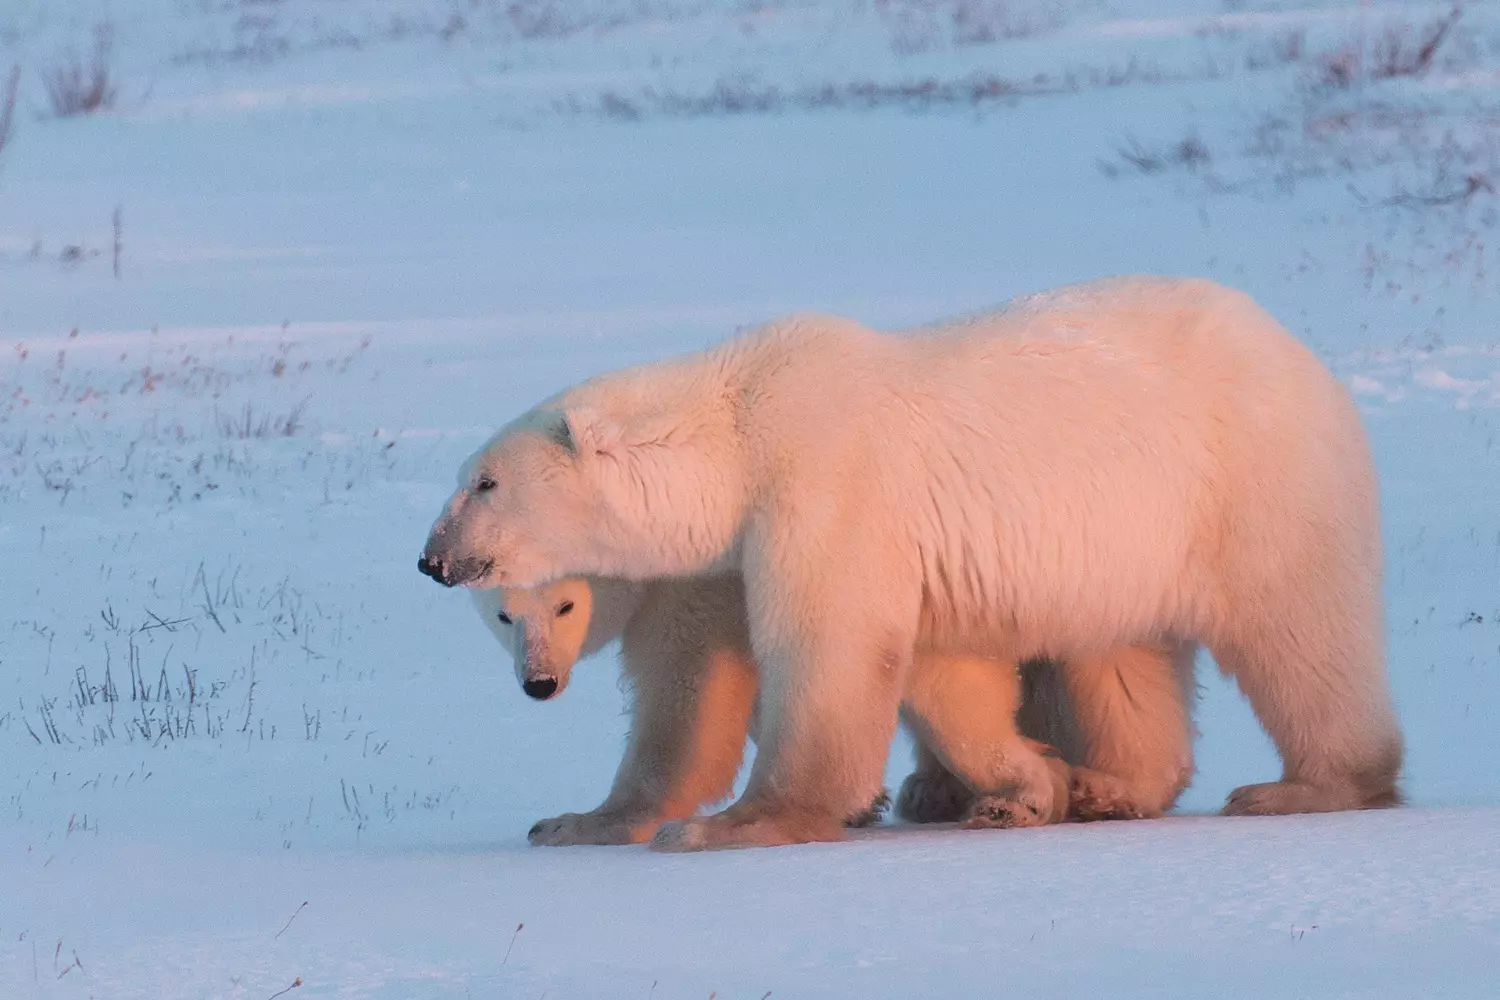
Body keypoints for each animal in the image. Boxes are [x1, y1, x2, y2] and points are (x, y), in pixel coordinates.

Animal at [423, 275, 1404, 851]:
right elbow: (707, 688)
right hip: (1126, 541)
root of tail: (1296, 350)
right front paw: (579, 821)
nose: (433, 560)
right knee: (1122, 655)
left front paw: (738, 824)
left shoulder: (825, 490)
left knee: (1298, 630)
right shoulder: (721, 561)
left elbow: (827, 649)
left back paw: (1301, 786)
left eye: (485, 481)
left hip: (1252, 483)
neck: (739, 430)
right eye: (506, 616)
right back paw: (1105, 784)